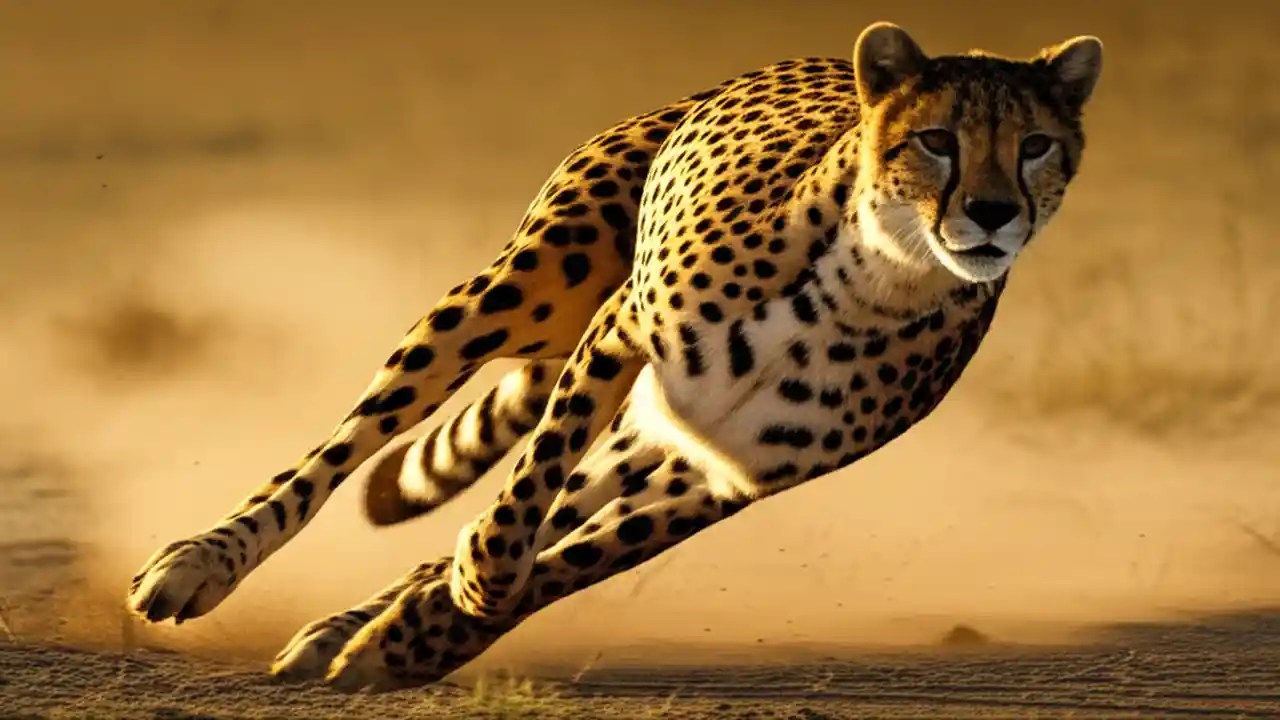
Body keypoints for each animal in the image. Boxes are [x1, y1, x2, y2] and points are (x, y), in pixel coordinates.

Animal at [126, 23, 1103, 691]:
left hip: (653, 432)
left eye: (1036, 146)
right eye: (937, 139)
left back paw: (356, 627)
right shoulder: (621, 331)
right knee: (340, 452)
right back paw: (199, 564)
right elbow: (523, 495)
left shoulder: (726, 473)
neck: (883, 273)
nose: (990, 214)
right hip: (519, 294)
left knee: (549, 505)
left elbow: (566, 562)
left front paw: (418, 638)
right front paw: (470, 585)